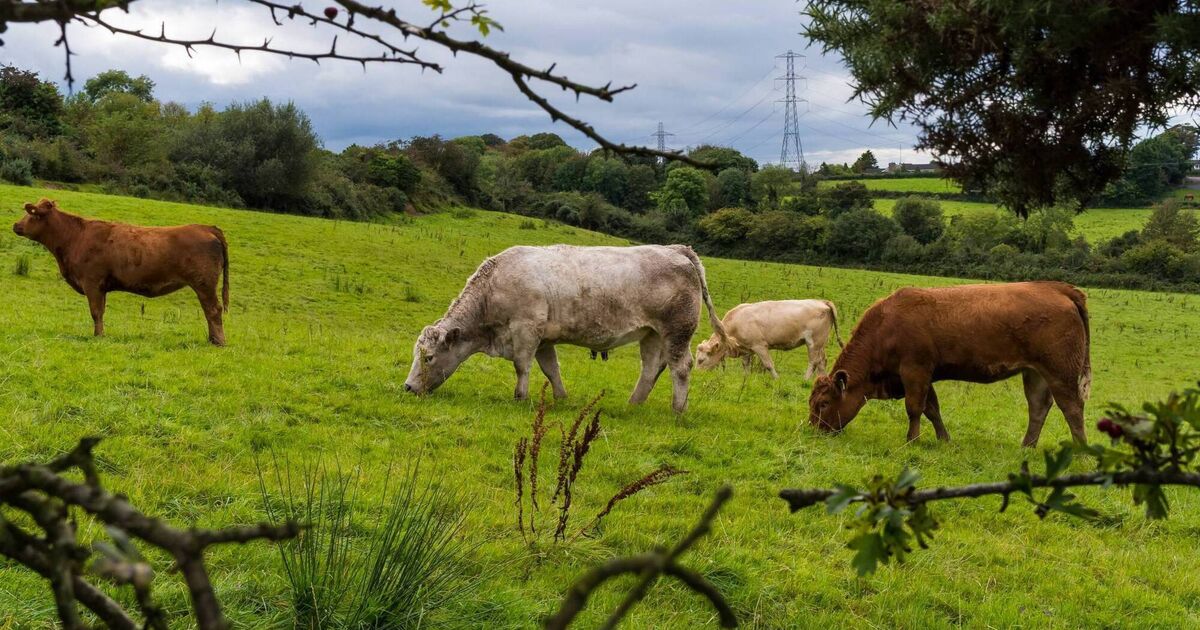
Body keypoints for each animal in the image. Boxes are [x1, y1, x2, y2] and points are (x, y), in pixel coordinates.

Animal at [12, 198, 230, 345]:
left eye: (33, 213)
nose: (16, 225)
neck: (75, 237)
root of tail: (206, 227)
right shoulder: (101, 287)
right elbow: (101, 311)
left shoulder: (92, 283)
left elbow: (96, 312)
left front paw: (98, 336)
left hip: (204, 284)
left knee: (213, 310)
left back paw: (218, 341)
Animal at [403, 244, 727, 413]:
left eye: (428, 357)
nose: (407, 387)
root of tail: (677, 249)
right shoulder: (543, 339)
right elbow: (550, 369)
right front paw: (561, 397)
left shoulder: (525, 330)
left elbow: (522, 366)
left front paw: (520, 397)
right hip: (652, 334)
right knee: (651, 368)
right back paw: (633, 404)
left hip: (677, 331)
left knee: (680, 367)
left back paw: (678, 409)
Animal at [695, 299, 842, 379]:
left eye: (701, 360)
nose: (696, 374)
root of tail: (821, 301)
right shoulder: (747, 348)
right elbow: (745, 364)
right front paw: (746, 378)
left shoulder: (759, 346)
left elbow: (768, 364)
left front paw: (776, 378)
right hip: (820, 344)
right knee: (822, 361)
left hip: (813, 343)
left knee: (813, 362)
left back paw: (805, 380)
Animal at [808, 281, 1091, 447]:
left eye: (823, 403)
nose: (813, 430)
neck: (886, 327)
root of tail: (1056, 288)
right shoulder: (922, 375)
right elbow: (932, 409)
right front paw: (944, 439)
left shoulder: (915, 370)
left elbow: (914, 408)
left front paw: (912, 440)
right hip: (1035, 373)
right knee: (1038, 408)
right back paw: (1027, 446)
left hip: (1060, 371)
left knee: (1072, 409)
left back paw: (1081, 452)